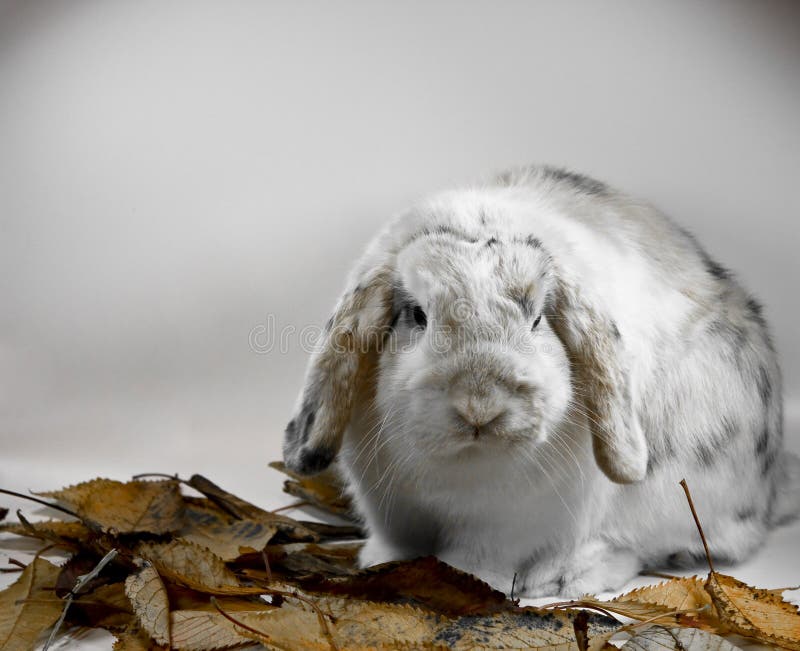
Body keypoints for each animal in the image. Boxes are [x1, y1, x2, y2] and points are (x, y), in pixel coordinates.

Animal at [282, 165, 800, 597]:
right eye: (417, 315)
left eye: (537, 320)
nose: (479, 405)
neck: (464, 468)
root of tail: (771, 486)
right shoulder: (394, 513)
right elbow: (396, 544)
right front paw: (377, 564)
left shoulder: (505, 529)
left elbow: (476, 559)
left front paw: (467, 580)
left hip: (671, 495)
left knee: (647, 545)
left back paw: (562, 577)